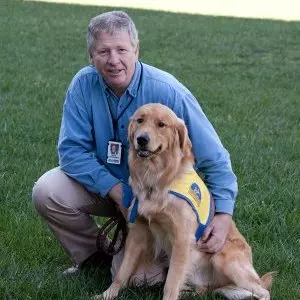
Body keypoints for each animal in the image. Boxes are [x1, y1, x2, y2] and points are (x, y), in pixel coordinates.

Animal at [99, 103, 274, 300]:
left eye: (161, 124)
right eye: (140, 120)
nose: (142, 139)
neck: (155, 179)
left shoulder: (182, 239)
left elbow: (171, 283)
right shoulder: (137, 233)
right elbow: (122, 272)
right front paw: (107, 294)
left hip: (222, 259)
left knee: (263, 290)